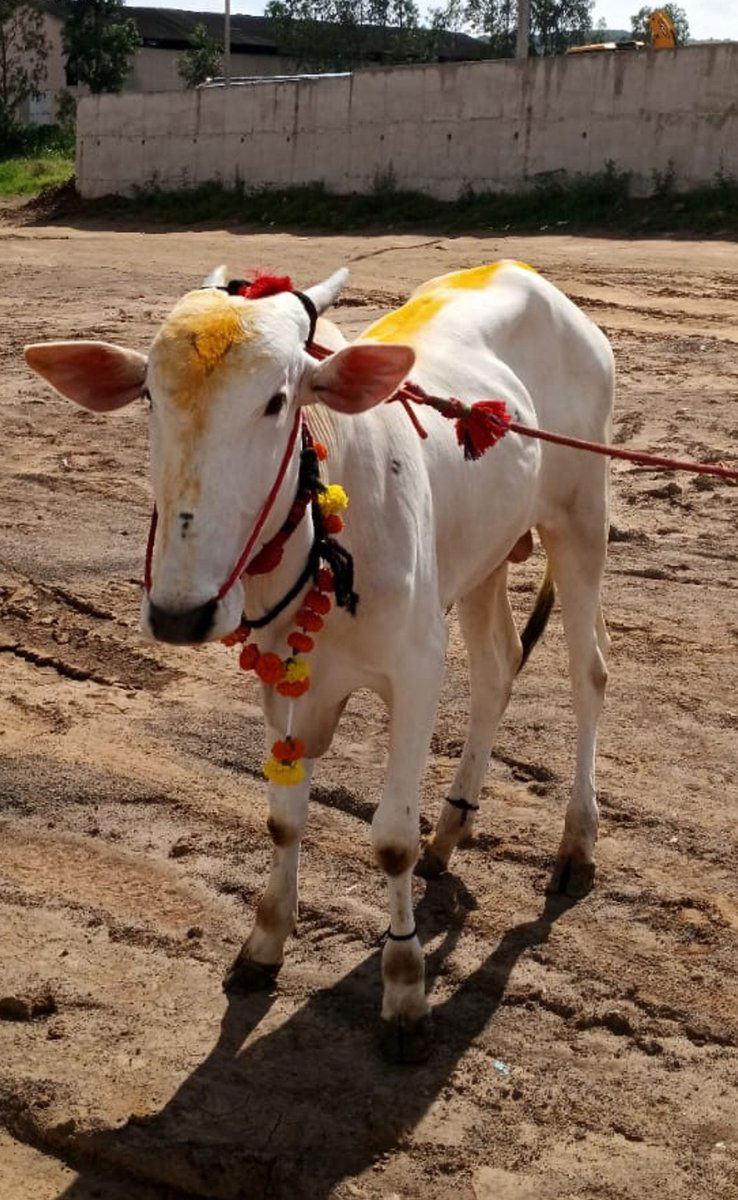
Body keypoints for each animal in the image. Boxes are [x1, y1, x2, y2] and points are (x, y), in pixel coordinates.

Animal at [24, 260, 614, 1061]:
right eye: (148, 395)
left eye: (277, 400)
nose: (180, 613)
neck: (321, 535)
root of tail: (528, 276)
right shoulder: (281, 681)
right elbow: (283, 820)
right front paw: (264, 944)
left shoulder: (416, 669)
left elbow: (390, 841)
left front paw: (404, 991)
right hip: (484, 559)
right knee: (499, 666)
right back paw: (452, 830)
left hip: (580, 519)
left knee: (589, 676)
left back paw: (575, 844)